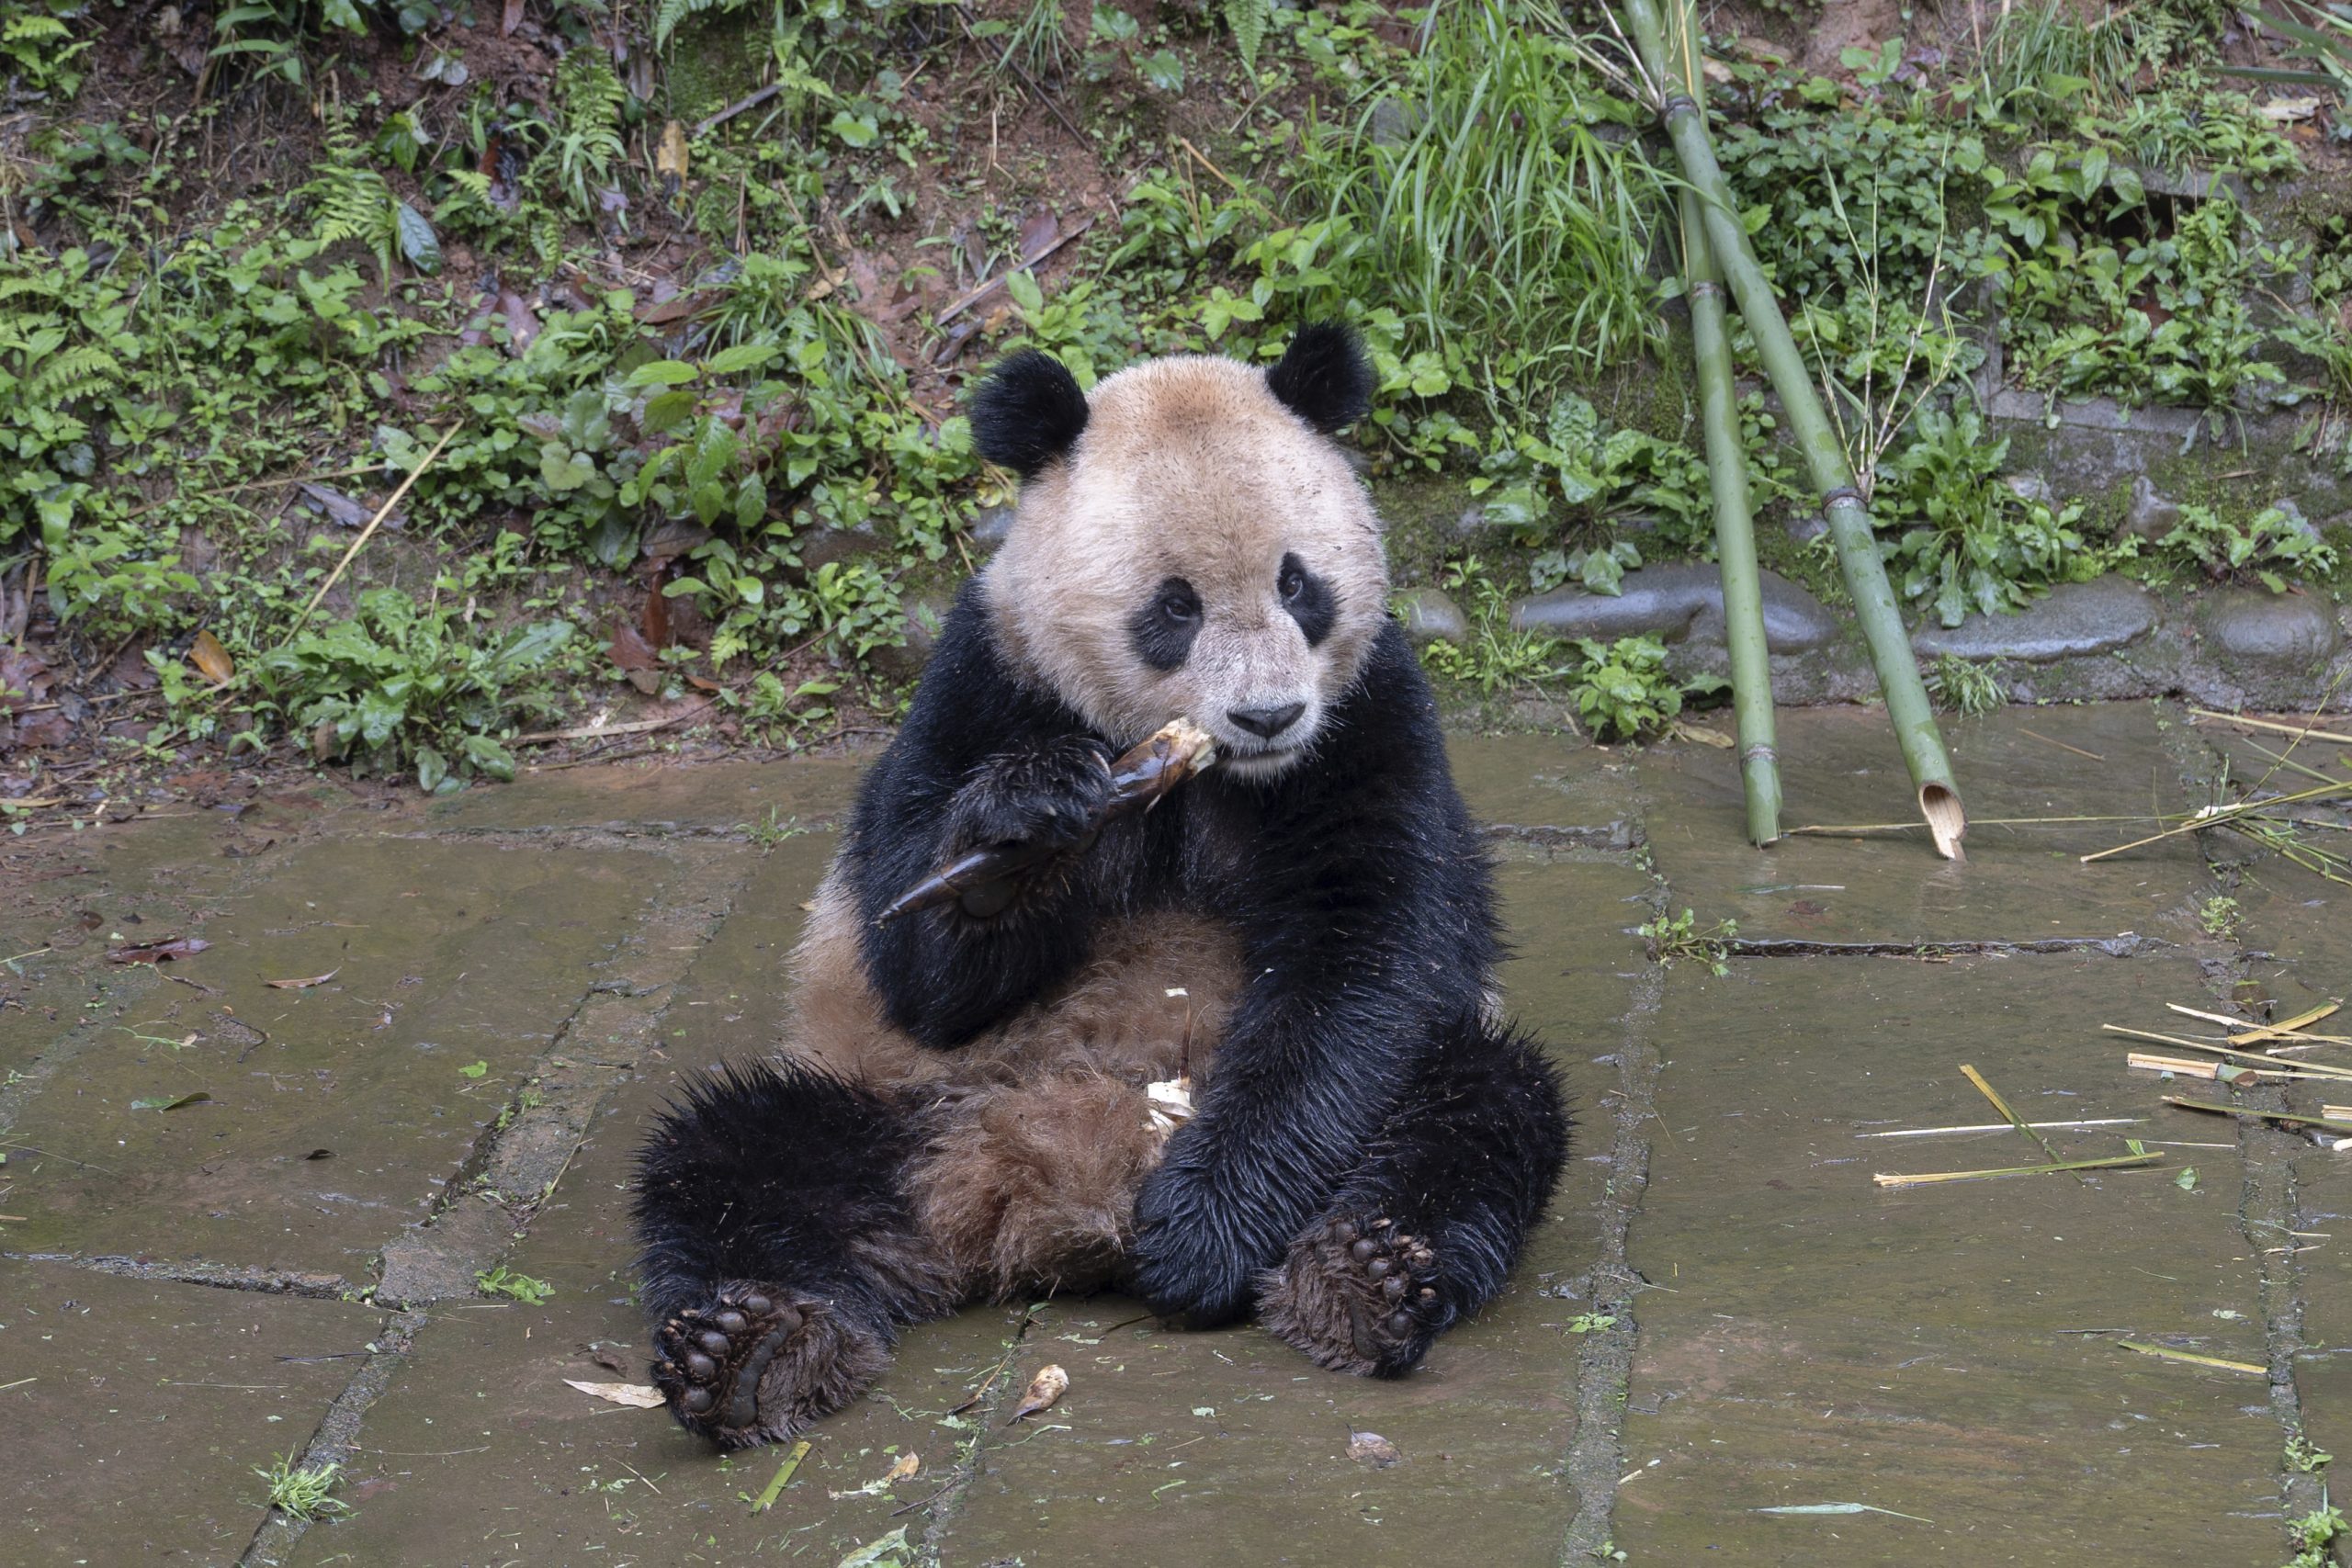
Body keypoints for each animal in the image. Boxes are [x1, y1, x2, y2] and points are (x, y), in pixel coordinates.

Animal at [632, 324, 1570, 1449]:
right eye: (1174, 606)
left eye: (1300, 585)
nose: (1267, 715)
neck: (1199, 771)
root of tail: (1050, 1191)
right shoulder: (985, 682)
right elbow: (914, 960)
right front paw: (1019, 839)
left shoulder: (1369, 718)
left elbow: (1368, 957)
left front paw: (1206, 1235)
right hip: (897, 1105)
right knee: (731, 1161)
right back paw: (758, 1351)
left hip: (1400, 1096)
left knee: (1479, 1111)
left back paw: (1363, 1278)